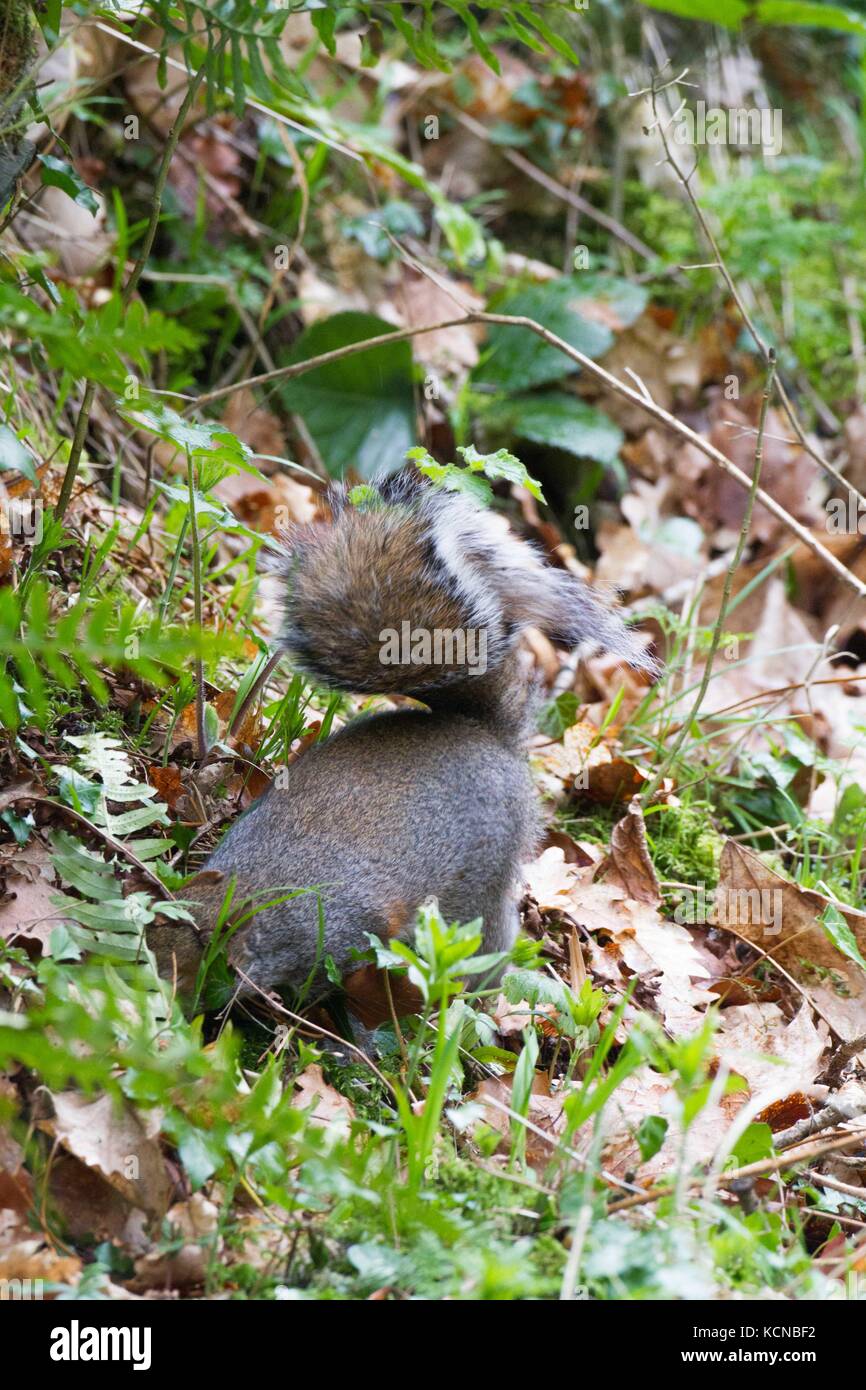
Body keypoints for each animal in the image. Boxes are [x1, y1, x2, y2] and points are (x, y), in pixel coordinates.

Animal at [148, 473, 653, 1023]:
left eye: (189, 973)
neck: (258, 890)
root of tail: (486, 732)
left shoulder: (350, 930)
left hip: (481, 885)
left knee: (490, 942)